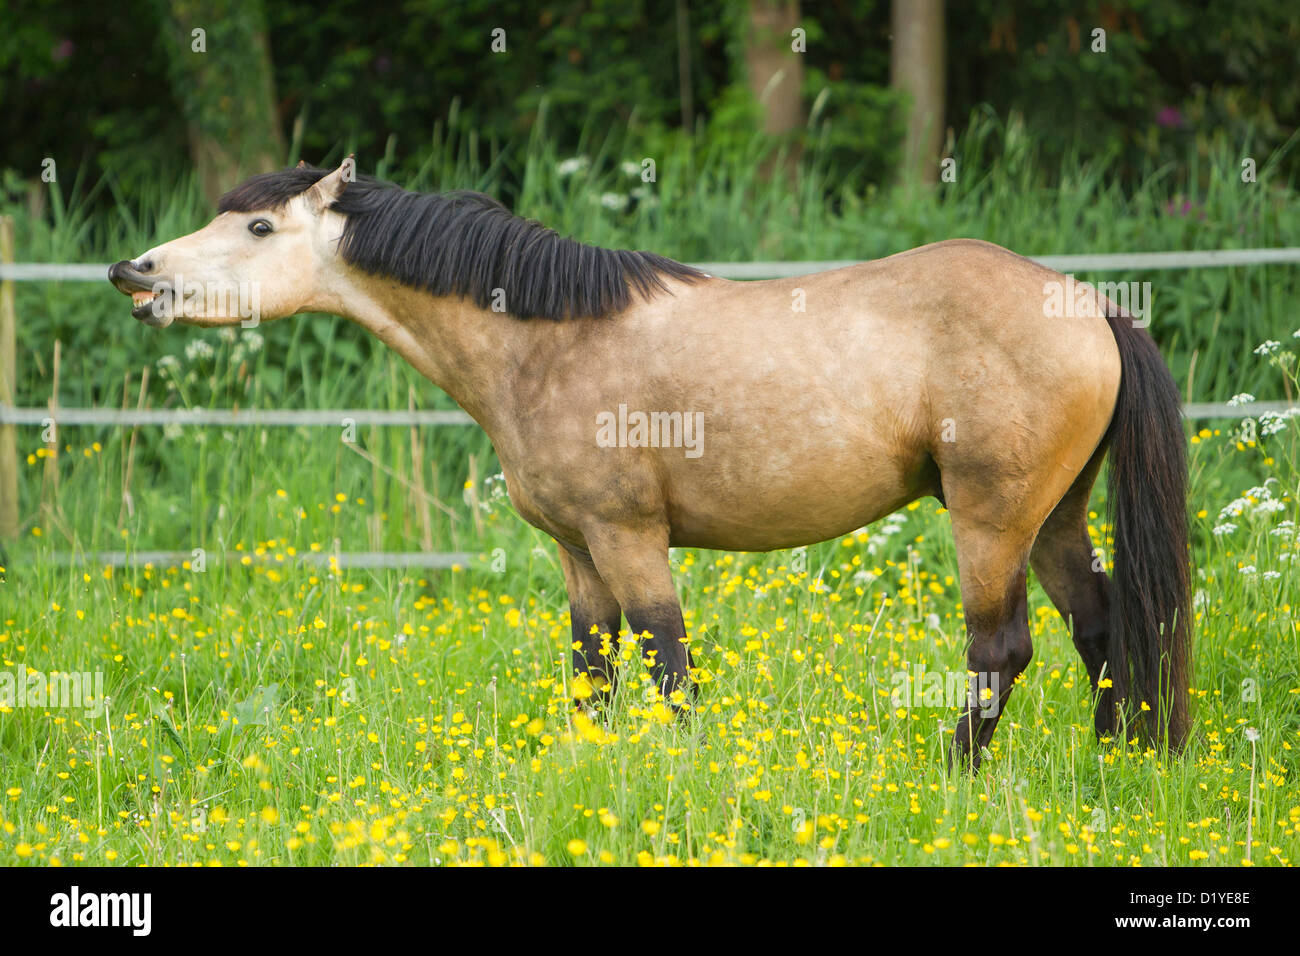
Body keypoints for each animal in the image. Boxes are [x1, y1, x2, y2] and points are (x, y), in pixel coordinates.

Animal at [108, 160, 1192, 770]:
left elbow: (667, 661)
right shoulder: (578, 552)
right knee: (1101, 623)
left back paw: (955, 773)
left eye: (258, 227)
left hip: (990, 521)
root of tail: (1091, 304)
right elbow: (593, 671)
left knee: (1001, 648)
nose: (134, 272)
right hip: (1053, 518)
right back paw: (1119, 760)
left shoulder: (630, 537)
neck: (548, 341)